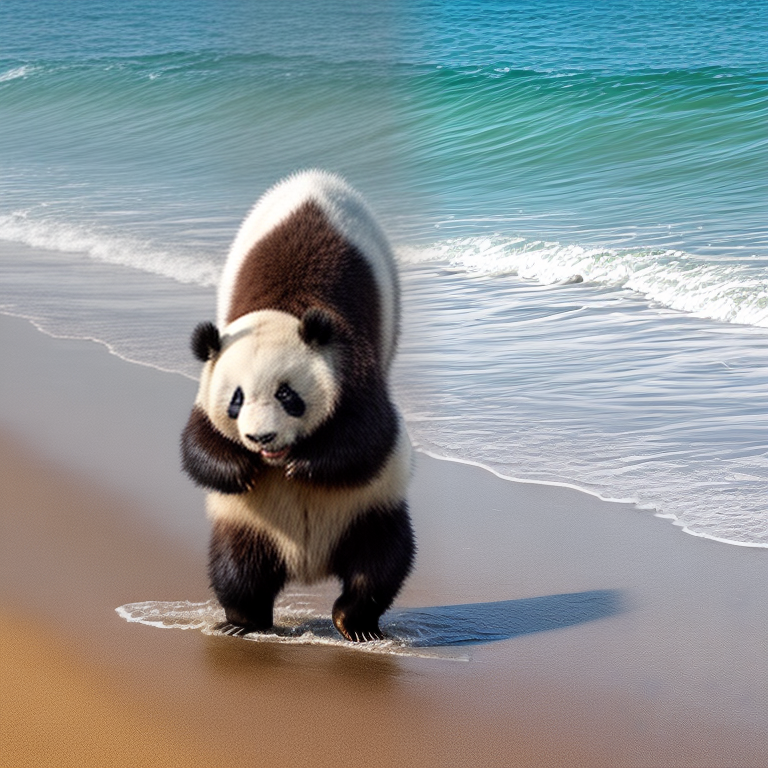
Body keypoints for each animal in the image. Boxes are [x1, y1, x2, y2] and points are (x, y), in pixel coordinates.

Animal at [181, 170, 415, 642]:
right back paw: (243, 621)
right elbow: (197, 441)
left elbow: (370, 437)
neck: (283, 308)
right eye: (236, 400)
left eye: (287, 395)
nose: (261, 438)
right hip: (247, 521)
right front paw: (241, 468)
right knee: (237, 566)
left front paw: (304, 466)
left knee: (381, 562)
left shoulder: (349, 361)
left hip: (369, 507)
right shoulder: (214, 365)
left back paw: (355, 622)